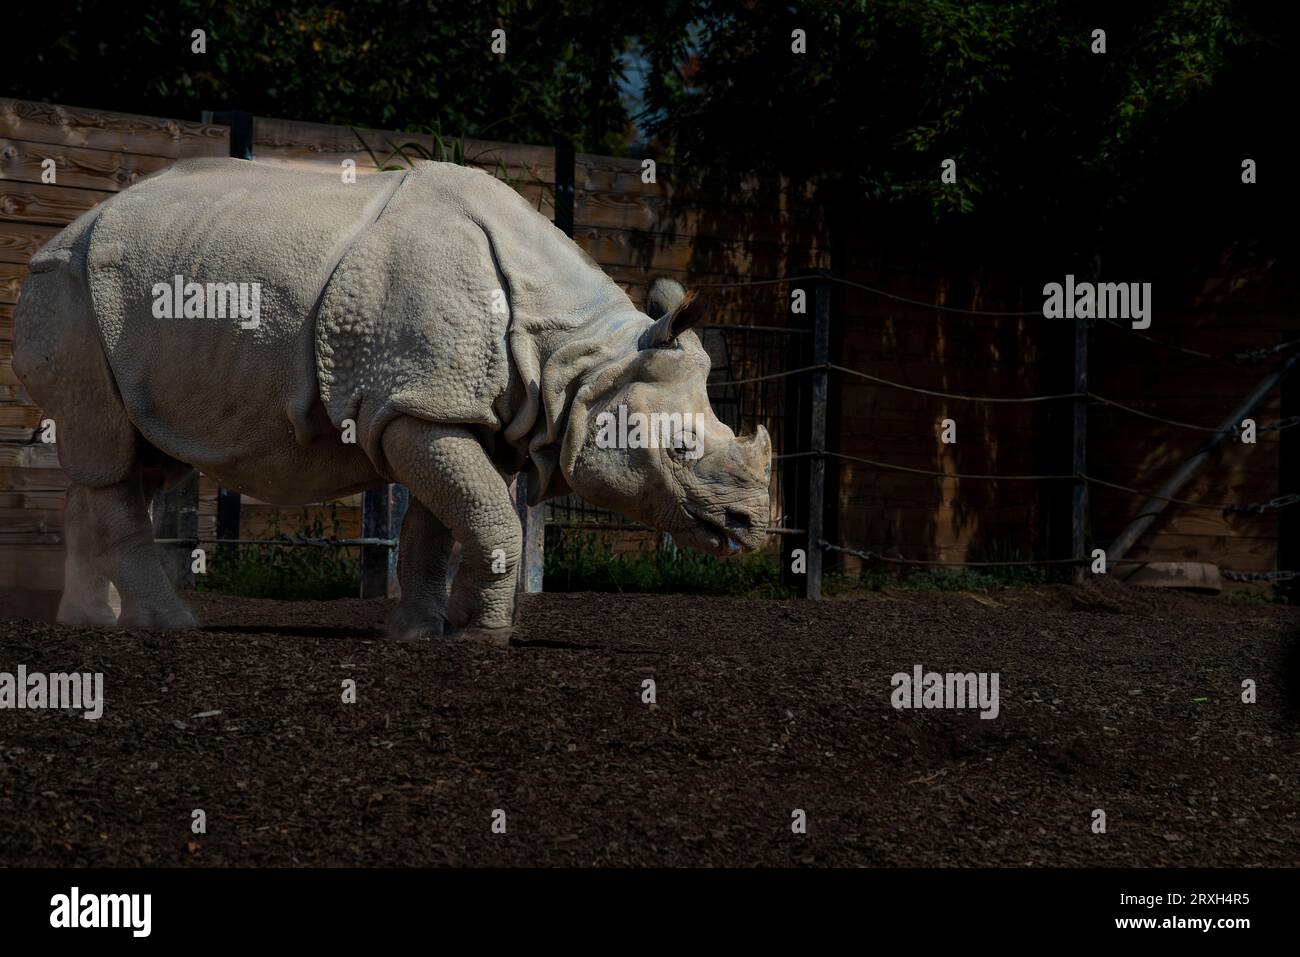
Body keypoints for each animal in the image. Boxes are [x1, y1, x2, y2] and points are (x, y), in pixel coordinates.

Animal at [13, 158, 771, 643]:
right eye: (679, 449)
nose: (752, 527)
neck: (577, 361)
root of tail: (62, 230)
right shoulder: (419, 404)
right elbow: (489, 516)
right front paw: (482, 638)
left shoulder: (448, 408)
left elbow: (443, 523)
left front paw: (421, 633)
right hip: (68, 290)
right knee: (111, 455)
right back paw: (169, 626)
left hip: (127, 304)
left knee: (135, 452)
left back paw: (91, 622)